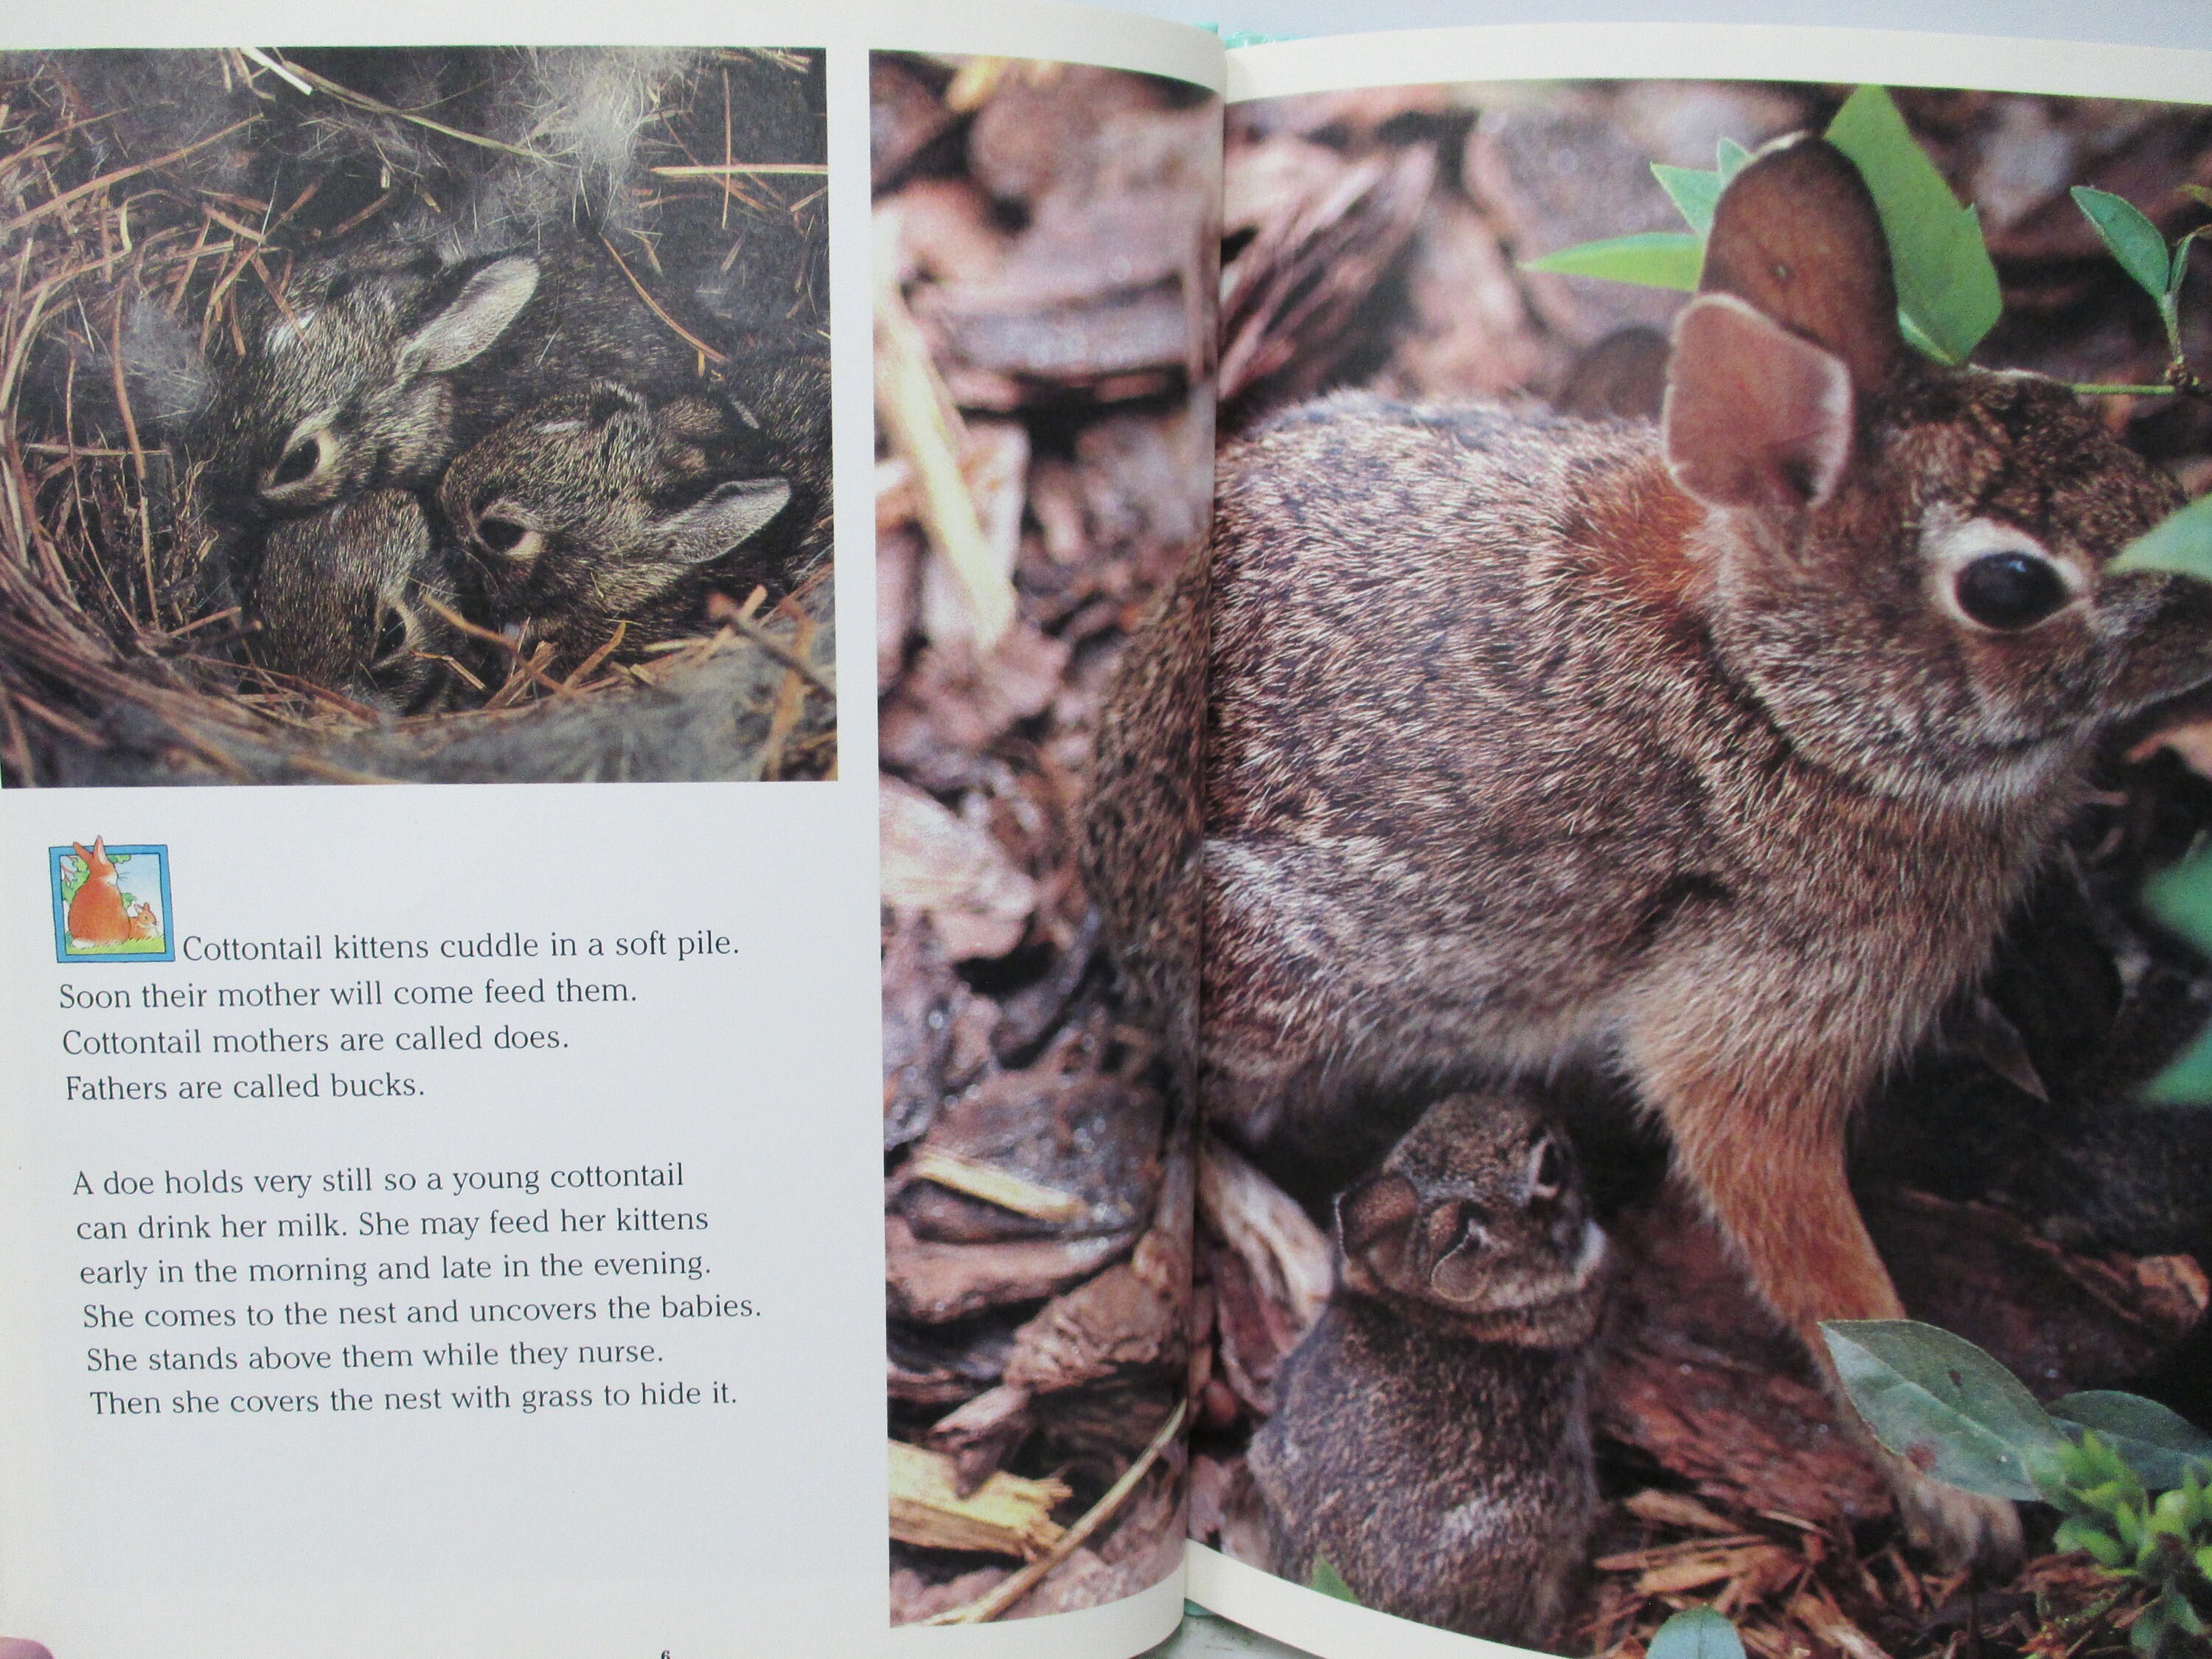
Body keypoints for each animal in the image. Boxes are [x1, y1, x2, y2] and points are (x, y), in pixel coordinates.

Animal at [1085, 132, 2212, 1571]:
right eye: (2010, 588)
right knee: (1202, 1103)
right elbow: (1826, 1271)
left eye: (2058, 397)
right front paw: (1957, 1497)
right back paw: (1281, 1242)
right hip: (1284, 992)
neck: (1781, 694)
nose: (2205, 621)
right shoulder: (1757, 1033)